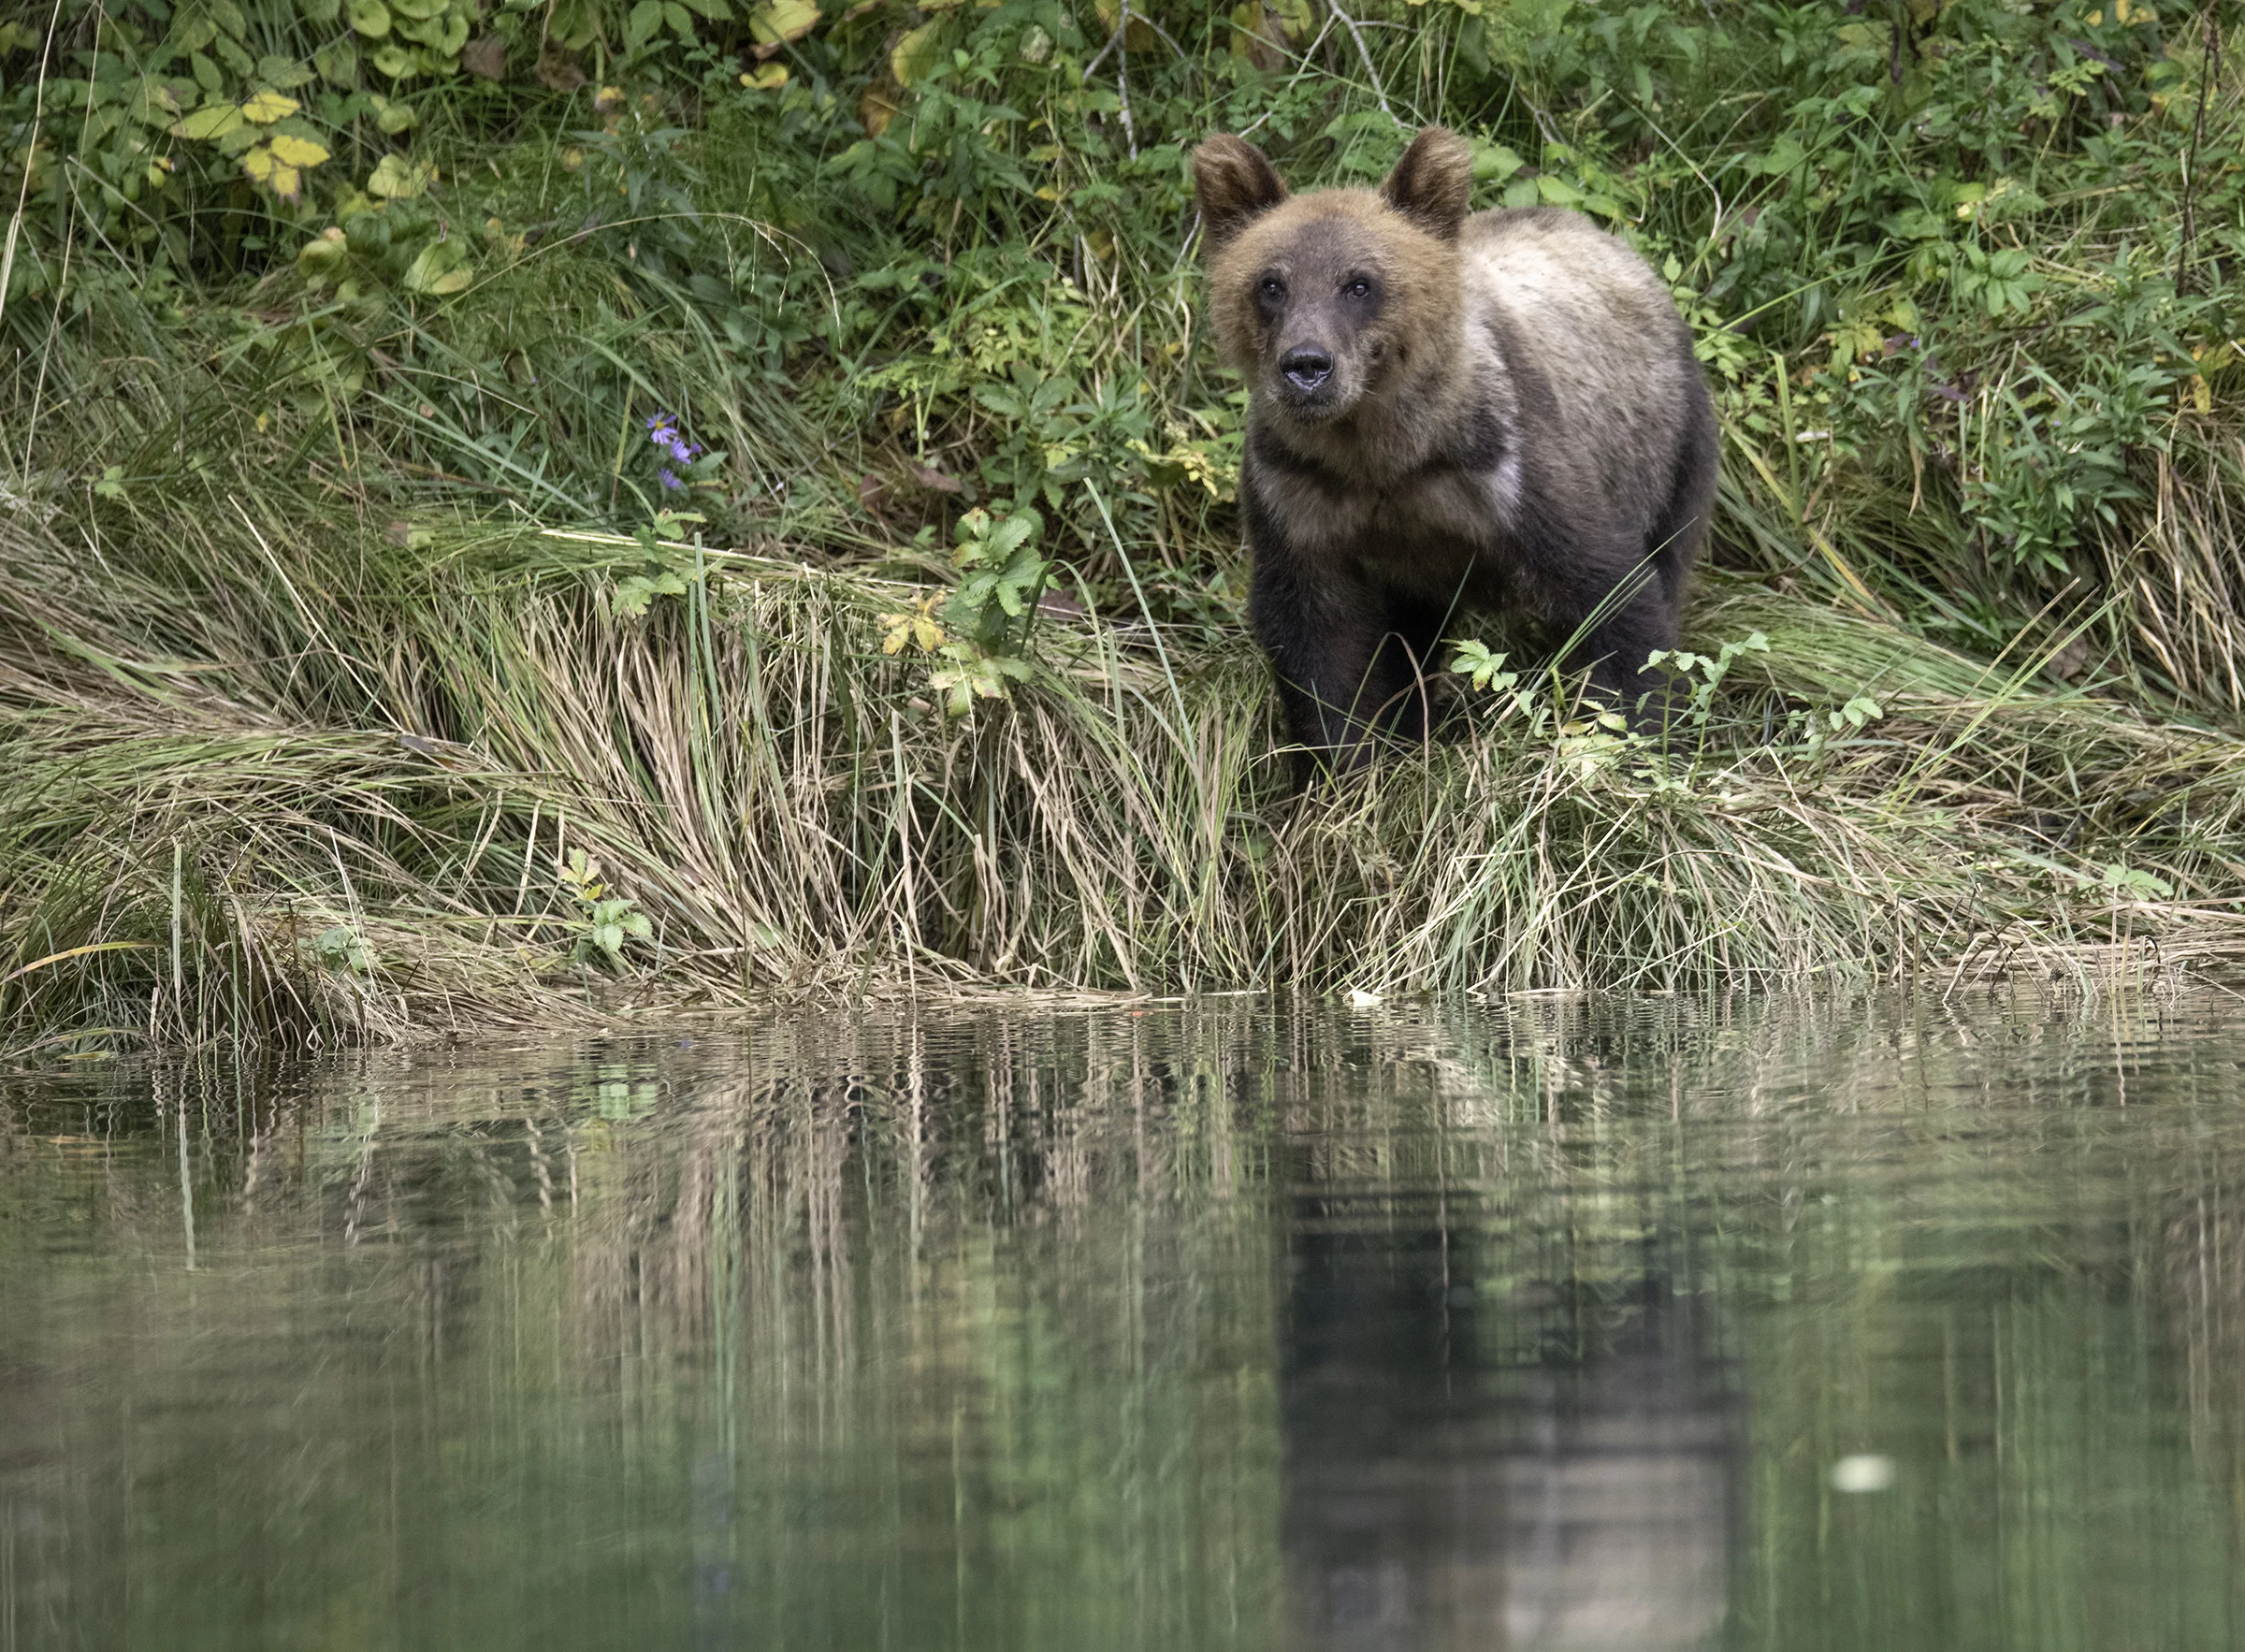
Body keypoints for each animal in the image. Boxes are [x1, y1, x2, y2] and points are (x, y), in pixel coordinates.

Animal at [1190, 125, 1719, 784]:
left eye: (1359, 282)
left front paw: (1640, 742)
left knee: (1669, 554)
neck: (1383, 453)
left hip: (1673, 445)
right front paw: (1344, 767)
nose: (1307, 366)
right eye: (1270, 283)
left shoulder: (1506, 470)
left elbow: (1611, 596)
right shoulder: (1300, 496)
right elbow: (1321, 643)